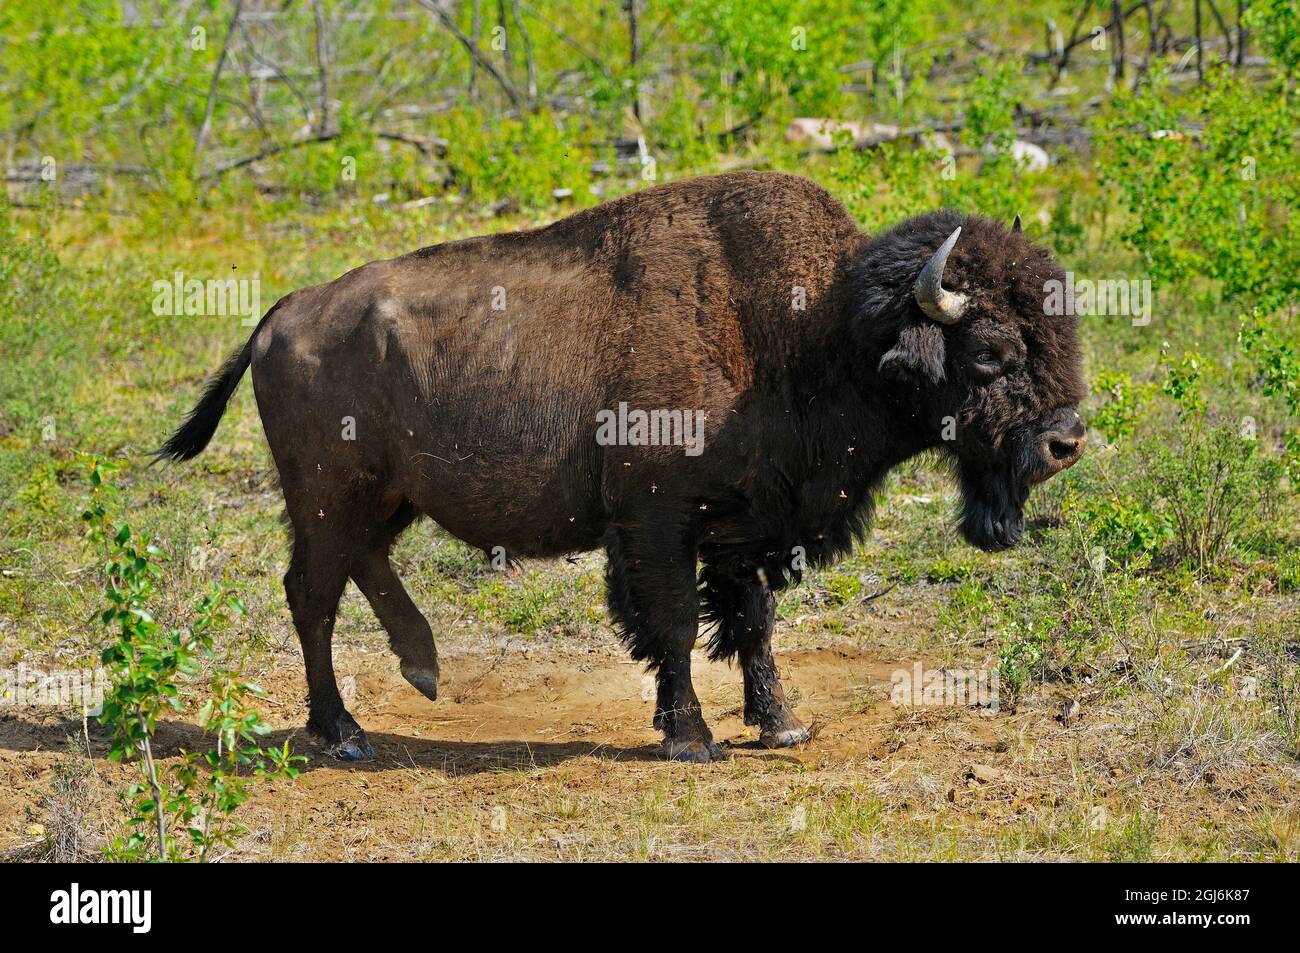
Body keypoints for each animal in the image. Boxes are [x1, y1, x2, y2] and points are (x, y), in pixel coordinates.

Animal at [160, 172, 1086, 763]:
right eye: (991, 352)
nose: (1065, 442)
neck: (810, 329)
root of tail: (279, 315)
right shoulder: (657, 520)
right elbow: (674, 623)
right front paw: (692, 738)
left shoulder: (745, 526)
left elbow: (752, 623)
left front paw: (780, 724)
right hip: (330, 497)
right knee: (312, 595)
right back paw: (344, 731)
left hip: (385, 498)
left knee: (359, 568)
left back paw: (420, 669)